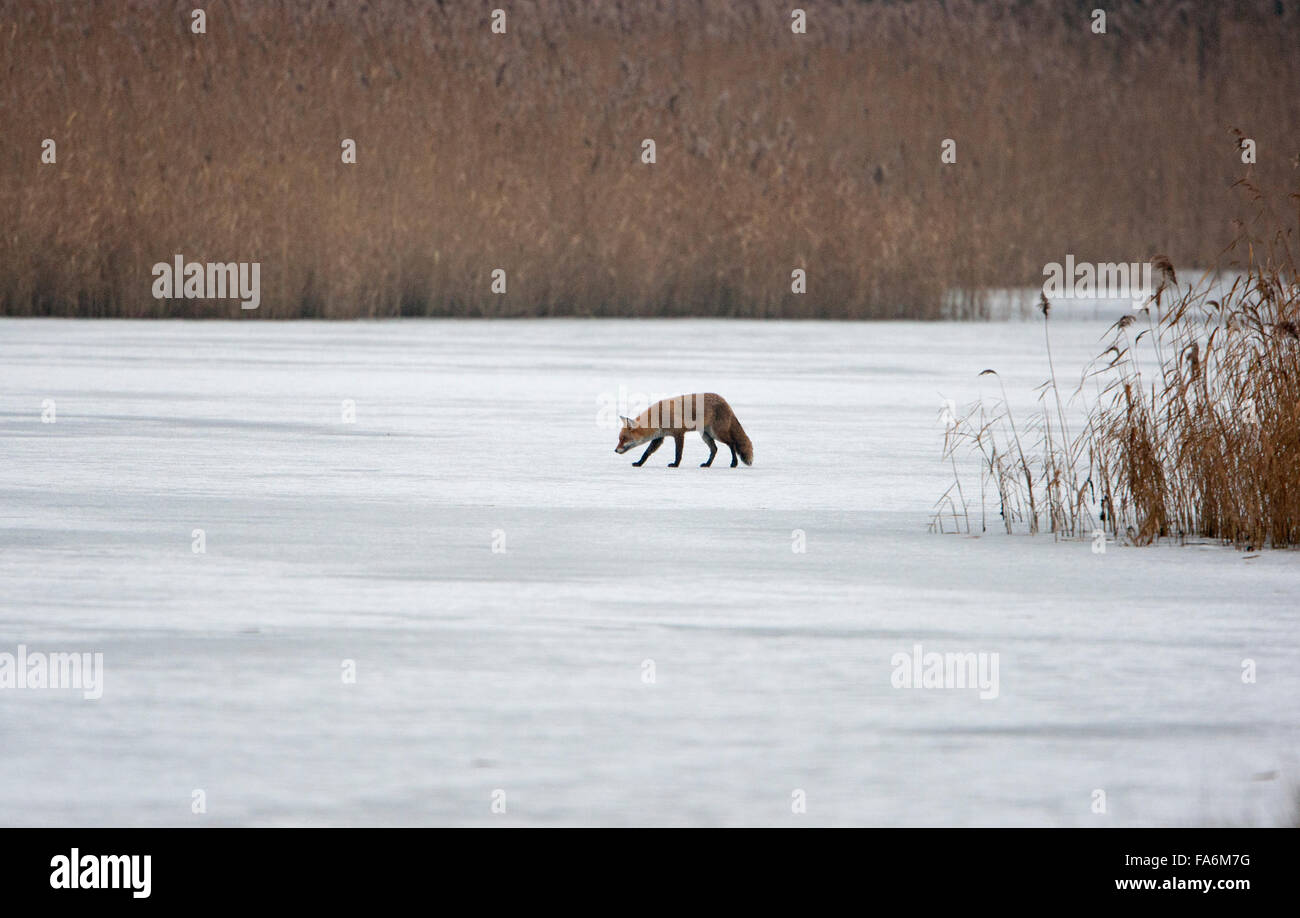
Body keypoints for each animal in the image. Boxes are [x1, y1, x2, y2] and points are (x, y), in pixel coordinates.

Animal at [614, 393, 753, 468]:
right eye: (619, 439)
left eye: (624, 439)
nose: (615, 450)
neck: (659, 417)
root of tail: (724, 400)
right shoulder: (659, 437)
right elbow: (646, 453)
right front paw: (639, 463)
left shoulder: (679, 434)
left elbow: (678, 452)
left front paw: (675, 464)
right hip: (706, 435)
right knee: (715, 449)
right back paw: (707, 464)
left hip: (718, 433)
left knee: (732, 444)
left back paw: (734, 463)